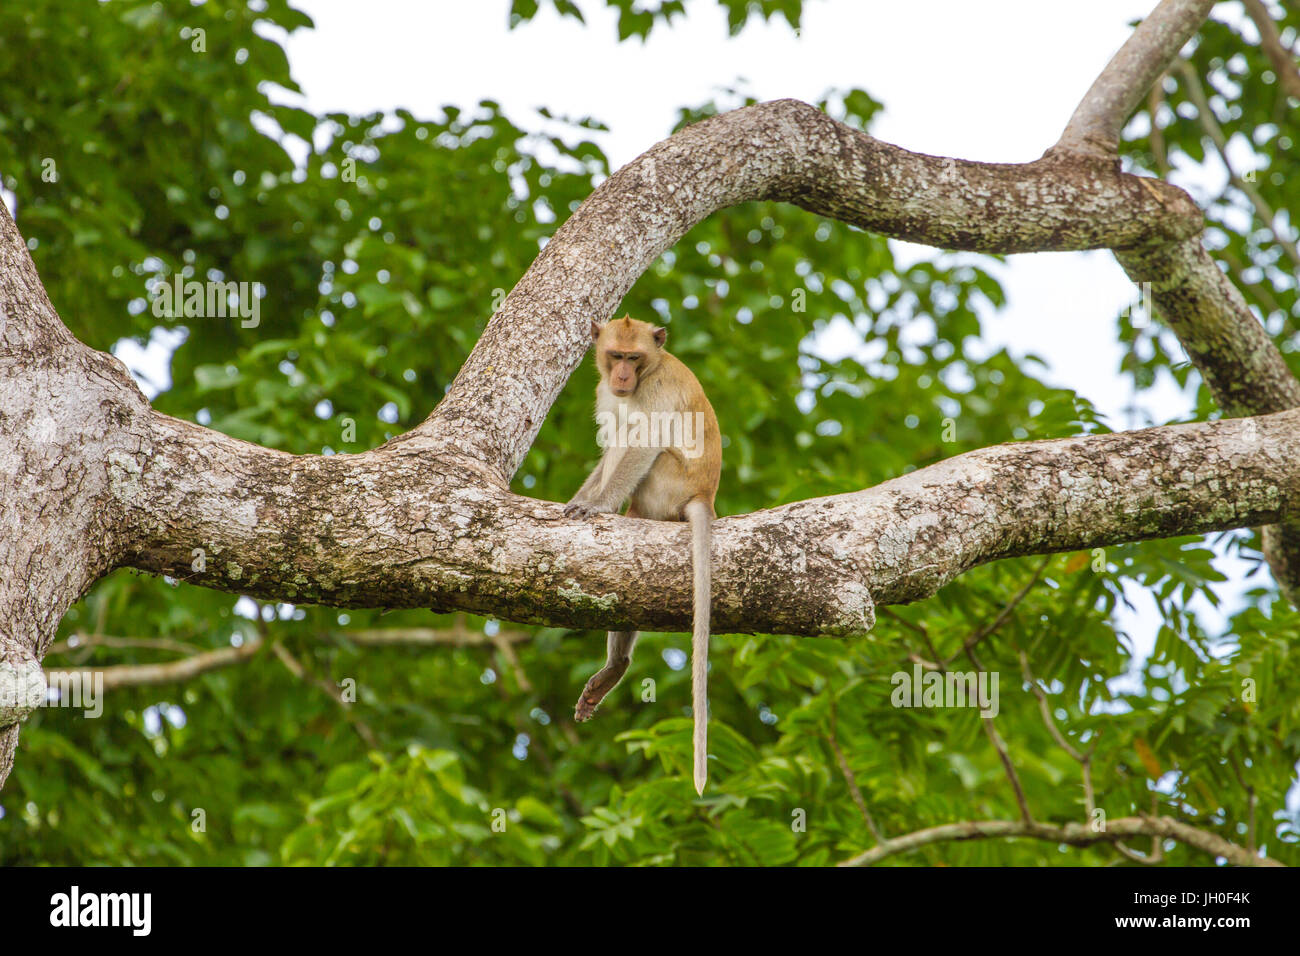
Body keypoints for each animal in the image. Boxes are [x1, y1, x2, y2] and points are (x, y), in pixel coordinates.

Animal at [564, 315, 721, 795]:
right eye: (616, 355)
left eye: (634, 359)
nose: (621, 376)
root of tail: (702, 497)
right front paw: (580, 499)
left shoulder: (655, 390)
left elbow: (643, 440)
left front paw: (596, 505)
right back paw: (616, 666)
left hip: (667, 482)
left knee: (634, 440)